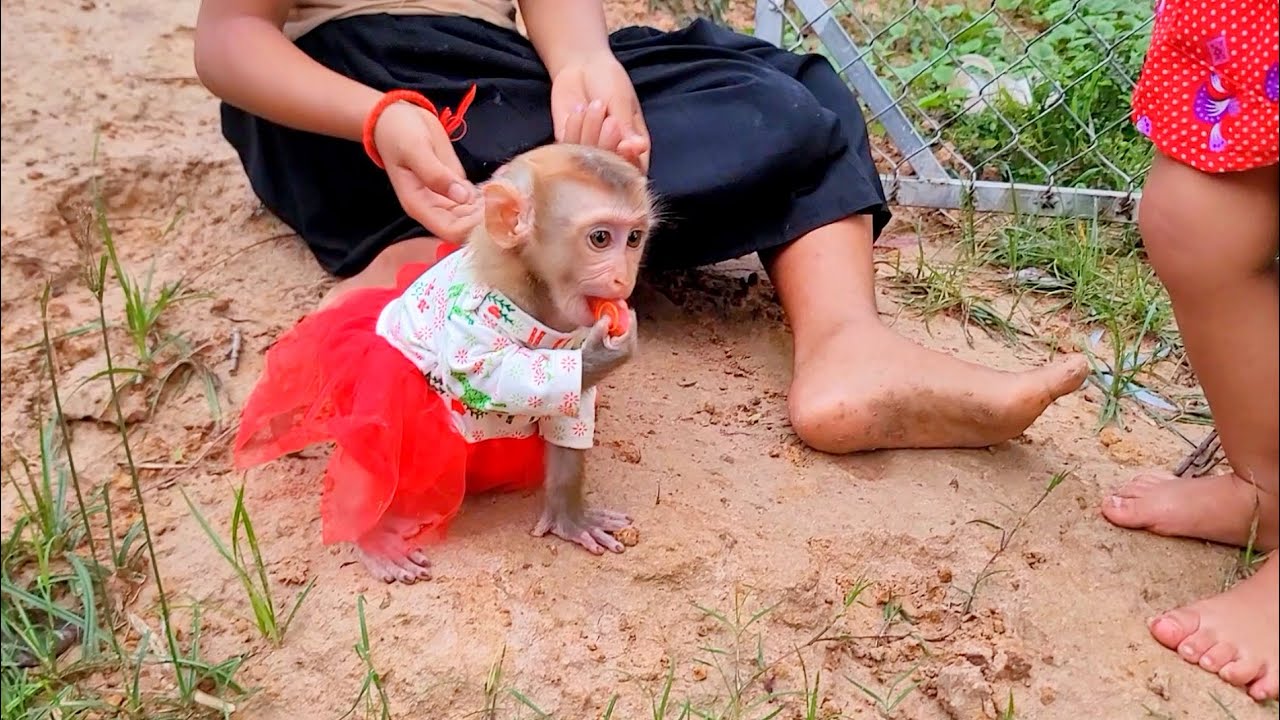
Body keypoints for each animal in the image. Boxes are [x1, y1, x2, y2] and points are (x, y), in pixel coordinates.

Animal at [232, 143, 654, 583]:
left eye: (634, 239)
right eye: (600, 238)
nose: (623, 280)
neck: (535, 292)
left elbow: (570, 411)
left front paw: (569, 515)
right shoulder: (471, 312)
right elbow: (484, 378)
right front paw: (603, 352)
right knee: (385, 386)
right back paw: (370, 532)